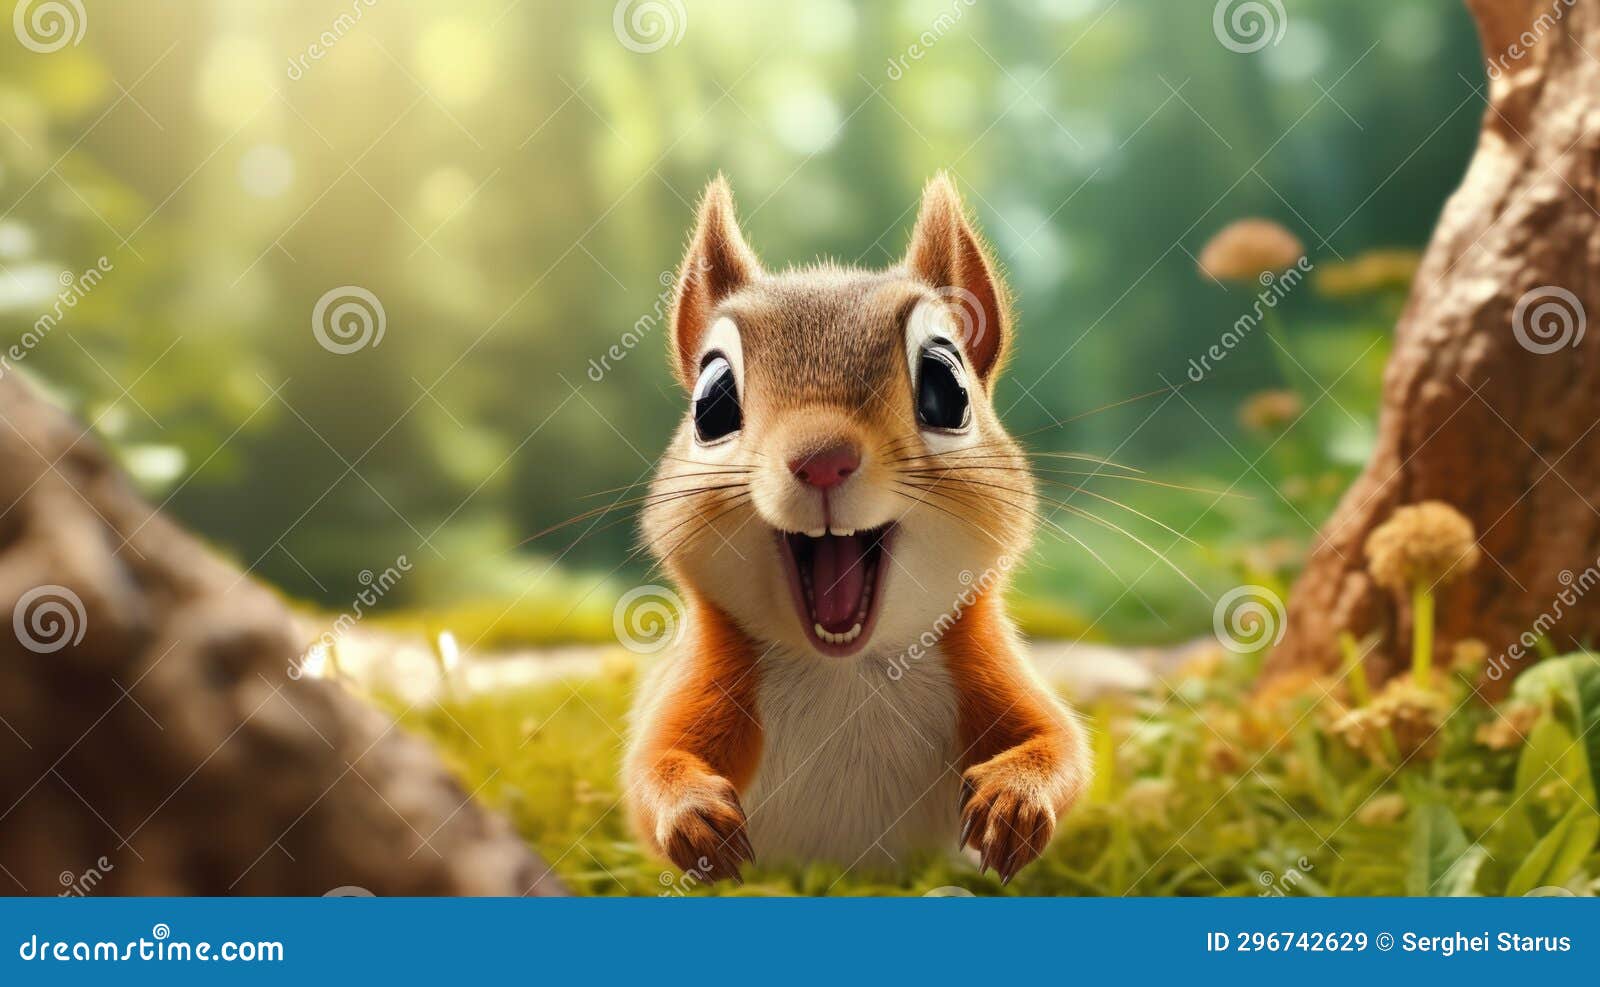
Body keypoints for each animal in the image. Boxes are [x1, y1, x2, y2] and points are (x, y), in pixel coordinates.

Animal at [624, 173, 1089, 886]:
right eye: (711, 403)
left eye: (948, 387)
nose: (823, 458)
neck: (848, 669)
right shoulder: (698, 684)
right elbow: (651, 766)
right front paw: (692, 816)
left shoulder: (989, 668)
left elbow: (1060, 746)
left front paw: (1016, 800)